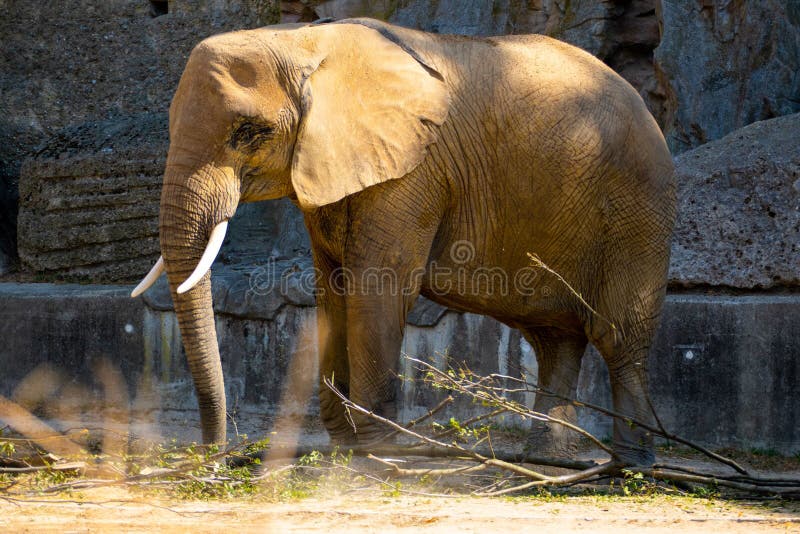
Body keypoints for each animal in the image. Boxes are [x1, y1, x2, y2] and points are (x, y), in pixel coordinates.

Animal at [131, 18, 676, 466]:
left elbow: (377, 287)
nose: (216, 458)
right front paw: (346, 445)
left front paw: (375, 450)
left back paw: (628, 465)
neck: (304, 41)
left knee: (617, 335)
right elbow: (333, 292)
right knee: (554, 339)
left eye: (247, 132)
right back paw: (546, 459)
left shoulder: (414, 170)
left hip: (637, 207)